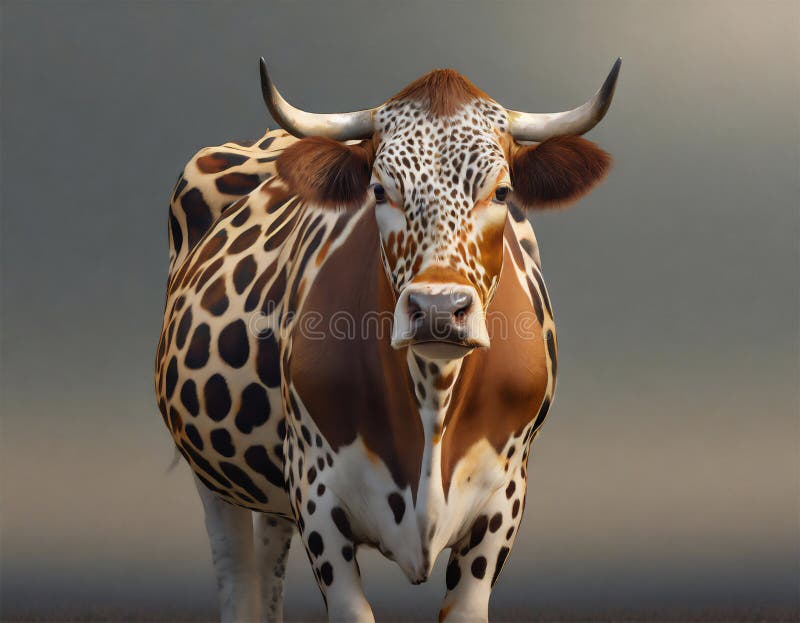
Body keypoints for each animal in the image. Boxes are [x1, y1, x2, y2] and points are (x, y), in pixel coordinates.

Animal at [155, 56, 620, 622]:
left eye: (502, 192)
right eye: (380, 190)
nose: (439, 310)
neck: (432, 405)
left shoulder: (503, 501)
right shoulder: (317, 495)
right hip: (213, 475)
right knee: (236, 572)